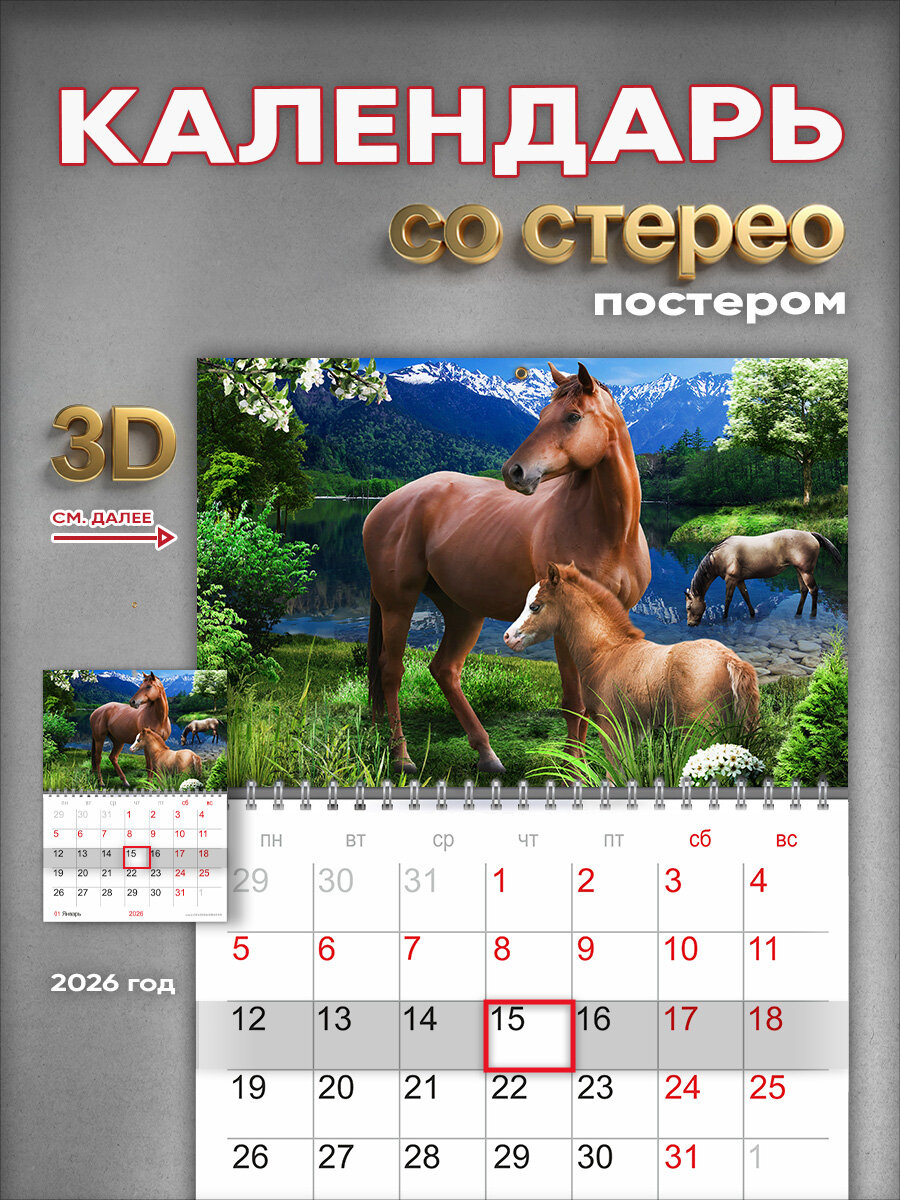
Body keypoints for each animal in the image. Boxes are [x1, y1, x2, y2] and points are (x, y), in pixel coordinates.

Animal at [363, 363, 651, 775]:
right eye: (542, 415)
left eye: (573, 416)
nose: (513, 471)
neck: (611, 531)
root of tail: (384, 504)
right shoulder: (564, 626)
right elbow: (574, 703)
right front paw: (573, 767)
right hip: (397, 603)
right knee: (391, 671)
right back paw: (403, 756)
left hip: (463, 611)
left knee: (445, 669)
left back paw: (487, 754)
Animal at [504, 562, 760, 764]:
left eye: (535, 606)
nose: (509, 637)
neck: (605, 653)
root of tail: (730, 661)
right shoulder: (634, 729)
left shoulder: (610, 724)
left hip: (700, 729)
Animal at [685, 529, 843, 626]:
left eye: (688, 607)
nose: (690, 624)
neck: (723, 555)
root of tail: (810, 534)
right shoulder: (739, 580)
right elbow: (746, 596)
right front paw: (753, 614)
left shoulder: (731, 580)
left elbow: (728, 600)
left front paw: (724, 618)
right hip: (799, 571)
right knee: (804, 590)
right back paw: (798, 614)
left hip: (806, 572)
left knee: (813, 590)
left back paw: (812, 615)